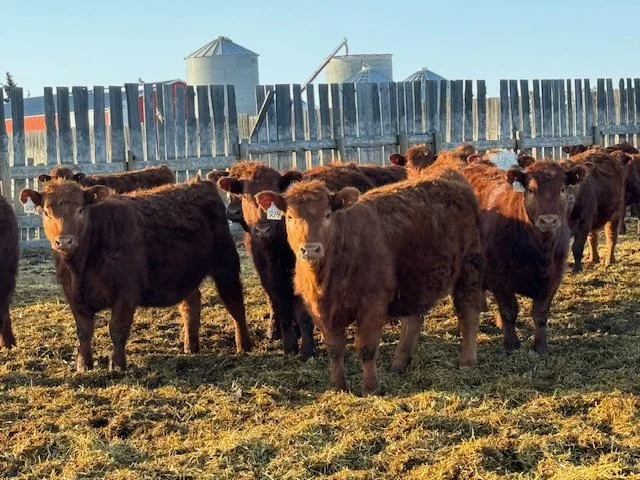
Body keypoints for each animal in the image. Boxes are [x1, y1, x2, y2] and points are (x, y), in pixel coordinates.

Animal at [19, 177, 252, 372]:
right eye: (46, 212)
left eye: (80, 210)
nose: (64, 241)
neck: (81, 267)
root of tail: (201, 183)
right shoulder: (73, 297)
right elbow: (84, 332)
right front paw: (83, 365)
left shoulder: (126, 293)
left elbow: (118, 330)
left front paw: (117, 365)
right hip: (185, 273)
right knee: (191, 304)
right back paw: (190, 346)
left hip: (225, 264)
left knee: (235, 303)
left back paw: (244, 345)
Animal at [254, 169, 484, 395]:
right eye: (290, 217)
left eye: (327, 215)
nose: (311, 250)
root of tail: (450, 175)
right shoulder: (321, 310)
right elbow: (335, 349)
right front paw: (337, 385)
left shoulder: (372, 306)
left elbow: (366, 348)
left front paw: (370, 388)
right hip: (416, 278)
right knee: (414, 317)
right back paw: (399, 363)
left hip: (469, 266)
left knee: (468, 311)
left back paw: (467, 360)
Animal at [458, 159, 588, 353]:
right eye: (531, 190)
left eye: (562, 189)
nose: (548, 220)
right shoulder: (499, 277)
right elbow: (509, 311)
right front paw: (511, 345)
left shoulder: (555, 276)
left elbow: (540, 313)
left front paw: (541, 346)